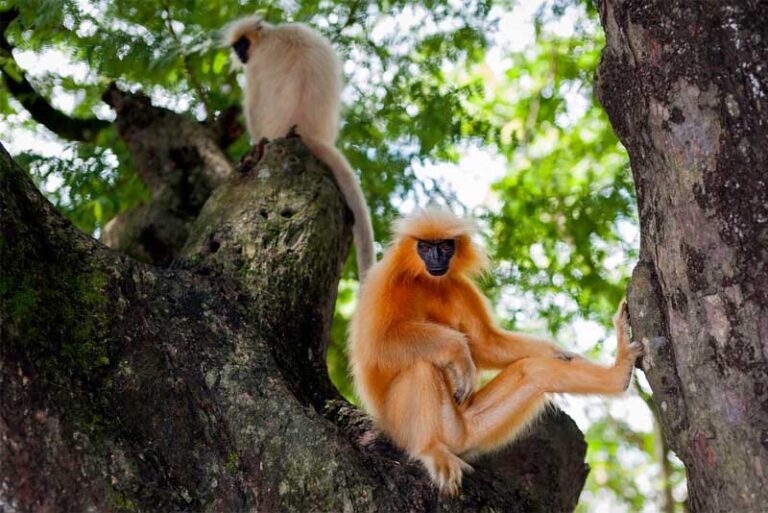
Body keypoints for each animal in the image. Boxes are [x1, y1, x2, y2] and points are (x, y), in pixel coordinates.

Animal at [348, 209, 644, 495]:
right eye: (425, 246)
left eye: (445, 246)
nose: (436, 258)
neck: (424, 280)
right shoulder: (384, 280)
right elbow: (378, 344)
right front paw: (458, 351)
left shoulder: (459, 286)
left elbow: (485, 345)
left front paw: (557, 351)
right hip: (402, 426)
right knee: (420, 366)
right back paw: (429, 448)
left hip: (469, 428)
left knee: (534, 372)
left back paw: (618, 374)